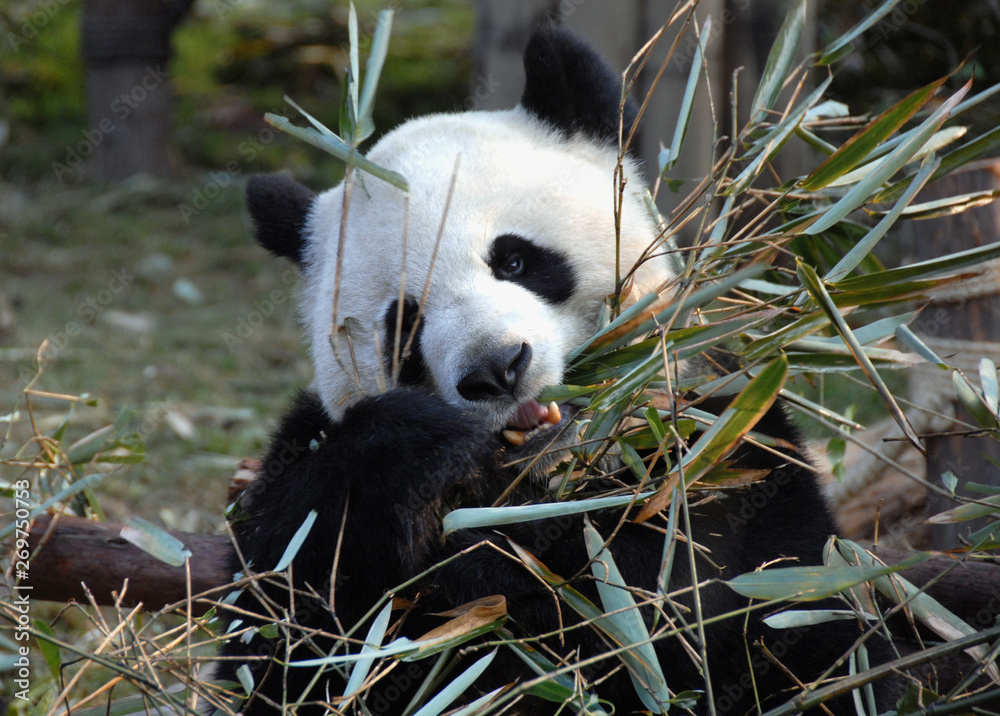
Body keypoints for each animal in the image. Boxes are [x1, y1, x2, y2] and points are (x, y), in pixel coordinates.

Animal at [213, 25, 896, 716]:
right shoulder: (306, 464)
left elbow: (701, 605)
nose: (496, 368)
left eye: (515, 260)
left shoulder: (723, 440)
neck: (542, 482)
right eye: (404, 324)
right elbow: (288, 630)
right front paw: (418, 453)